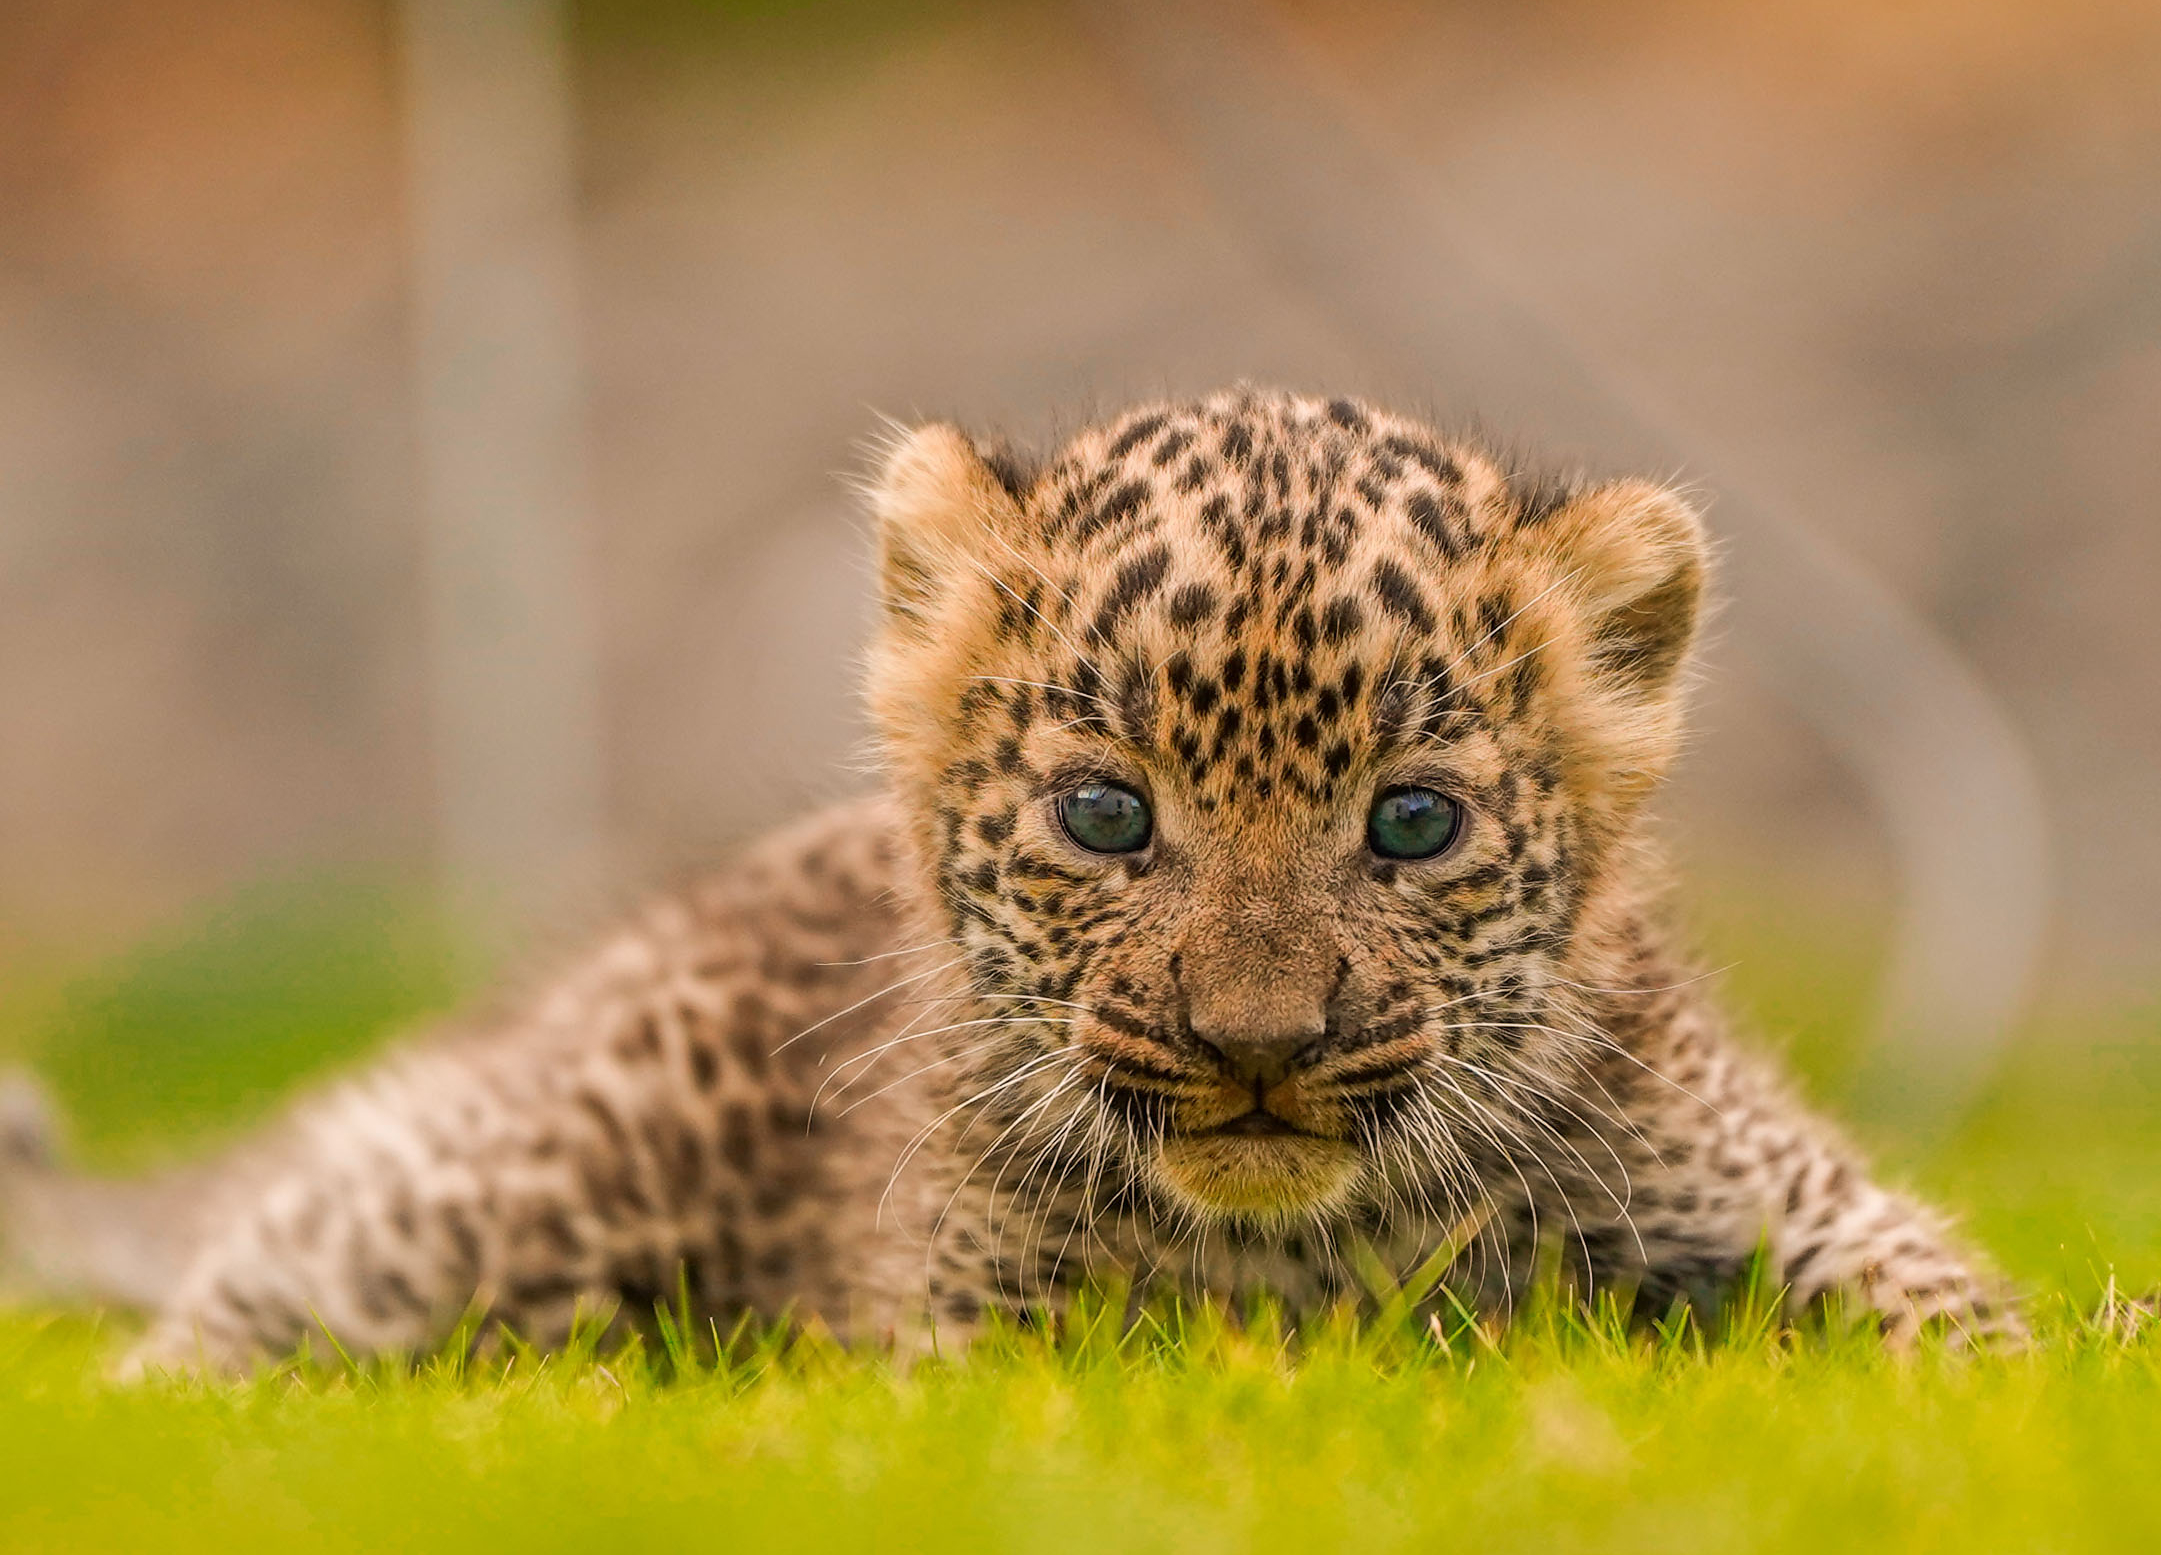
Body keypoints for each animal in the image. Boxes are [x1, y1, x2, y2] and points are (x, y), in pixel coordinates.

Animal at [0, 386, 2015, 1376]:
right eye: (1108, 818)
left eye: (1412, 827)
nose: (1258, 1048)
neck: (1301, 1252)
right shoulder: (976, 1333)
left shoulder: (1815, 1204)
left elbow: (1988, 1345)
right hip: (517, 1184)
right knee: (235, 1316)